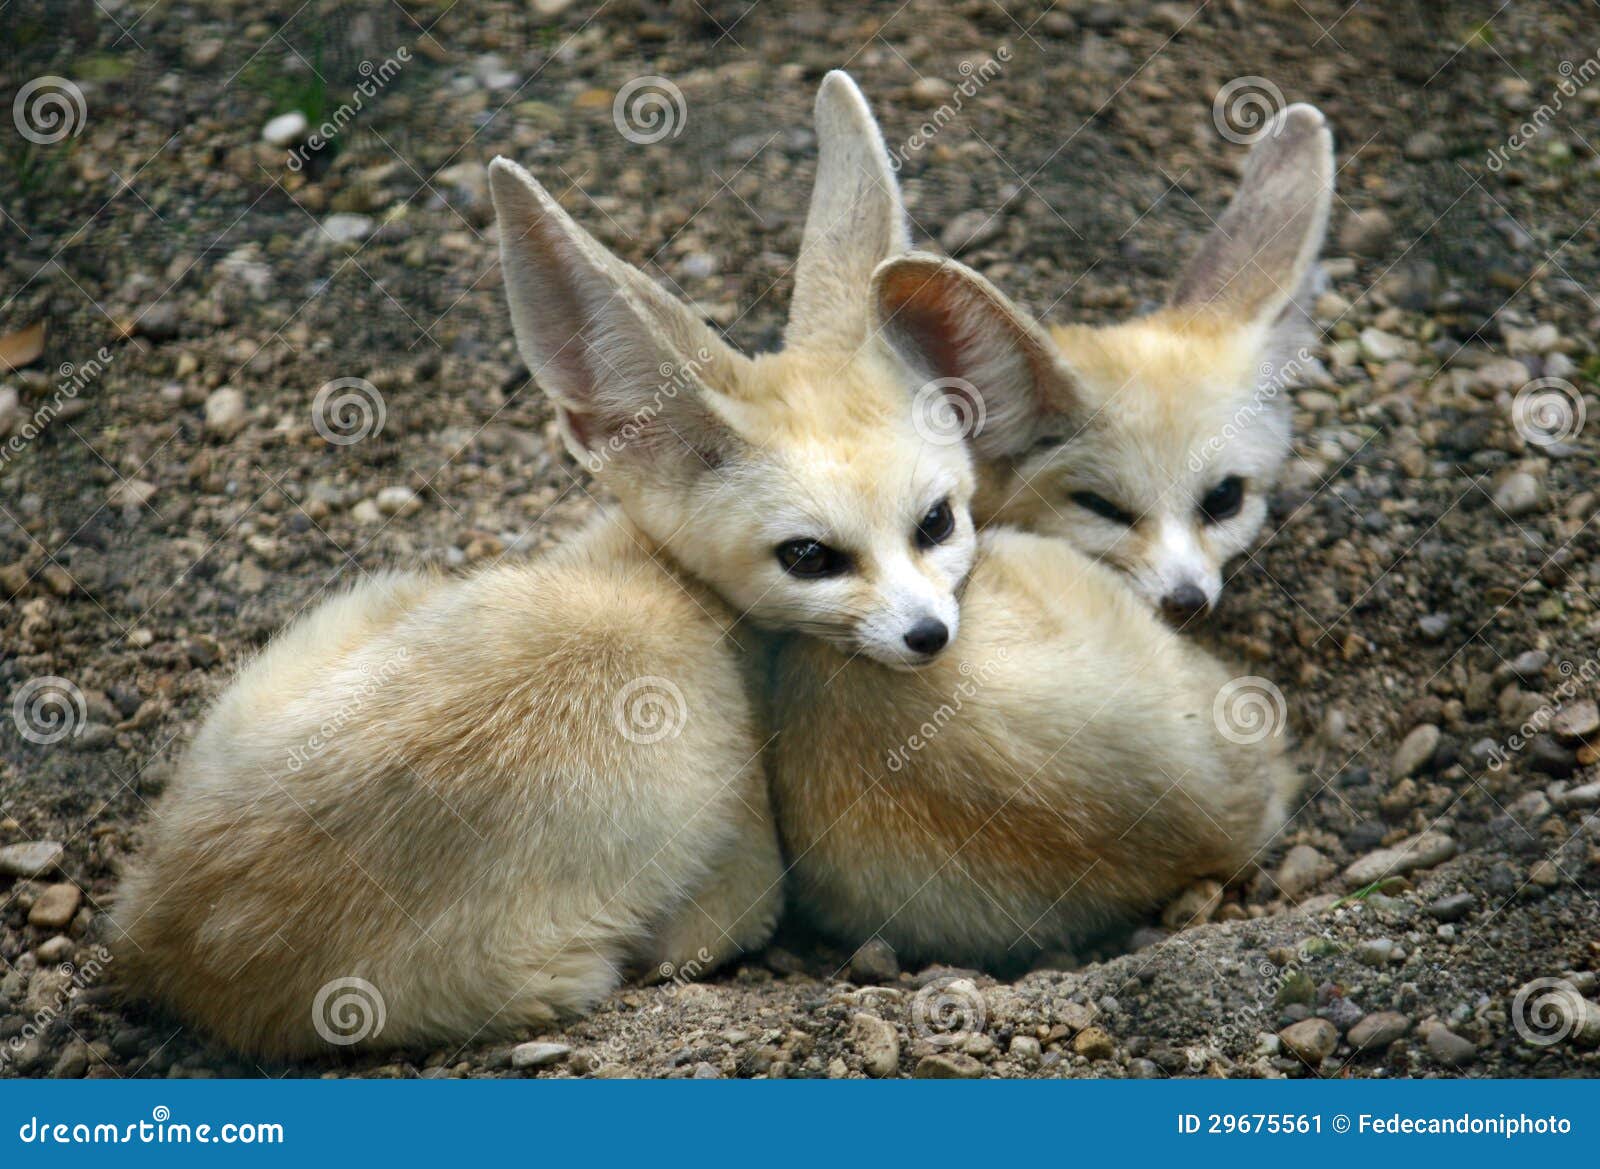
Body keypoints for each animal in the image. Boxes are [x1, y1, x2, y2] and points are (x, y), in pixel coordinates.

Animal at [110, 72, 982, 1058]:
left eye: (937, 521)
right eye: (809, 557)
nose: (928, 634)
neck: (672, 588)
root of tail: (161, 937)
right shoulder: (737, 876)